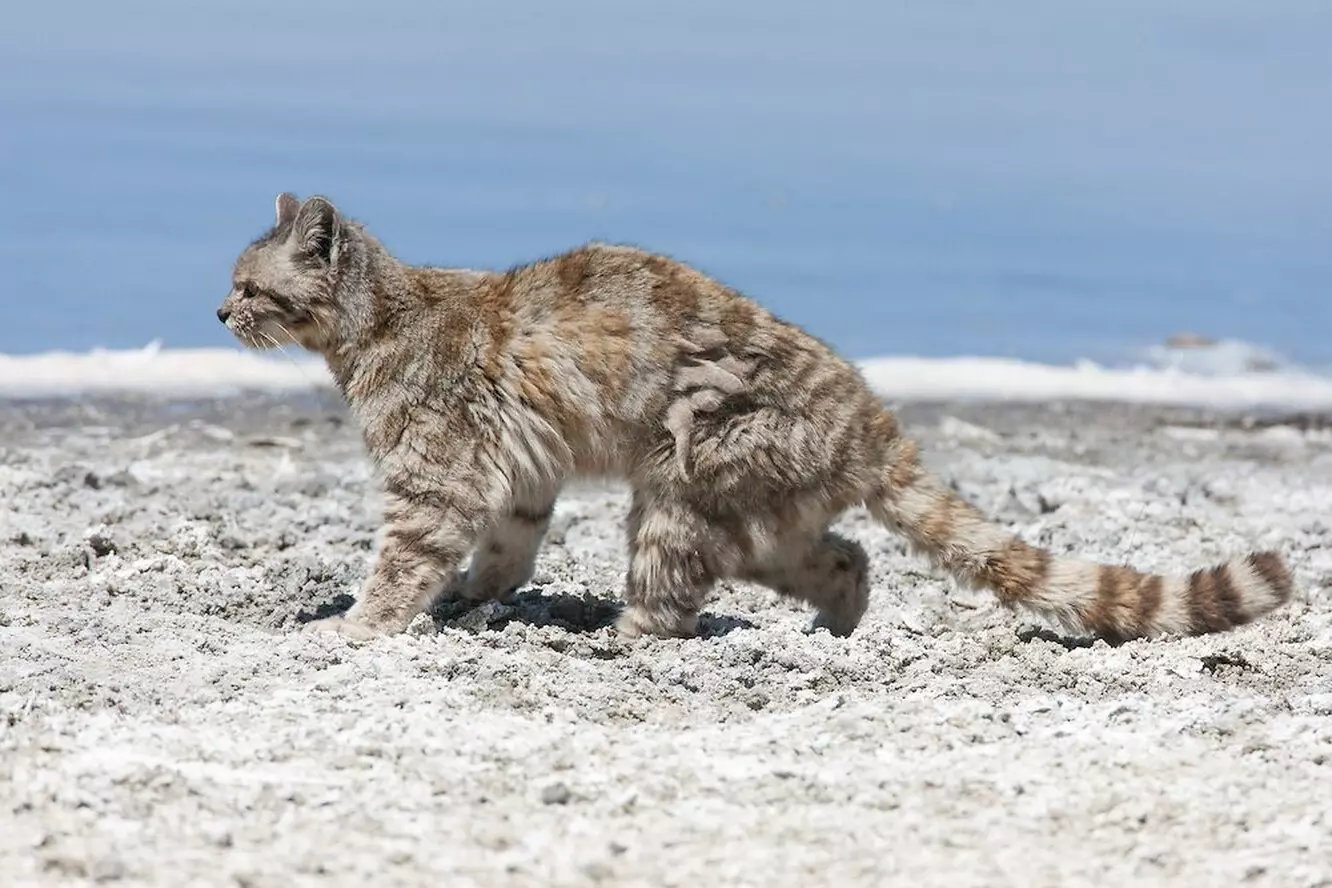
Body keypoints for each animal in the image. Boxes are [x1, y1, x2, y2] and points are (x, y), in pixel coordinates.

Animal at [215, 194, 1289, 641]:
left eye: (249, 287)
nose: (217, 314)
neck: (382, 318)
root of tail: (869, 417)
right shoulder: (517, 472)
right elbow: (508, 541)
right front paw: (474, 595)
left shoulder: (438, 468)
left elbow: (406, 555)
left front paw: (361, 626)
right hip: (764, 510)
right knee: (844, 553)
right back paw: (836, 621)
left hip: (688, 480)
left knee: (677, 590)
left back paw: (629, 635)